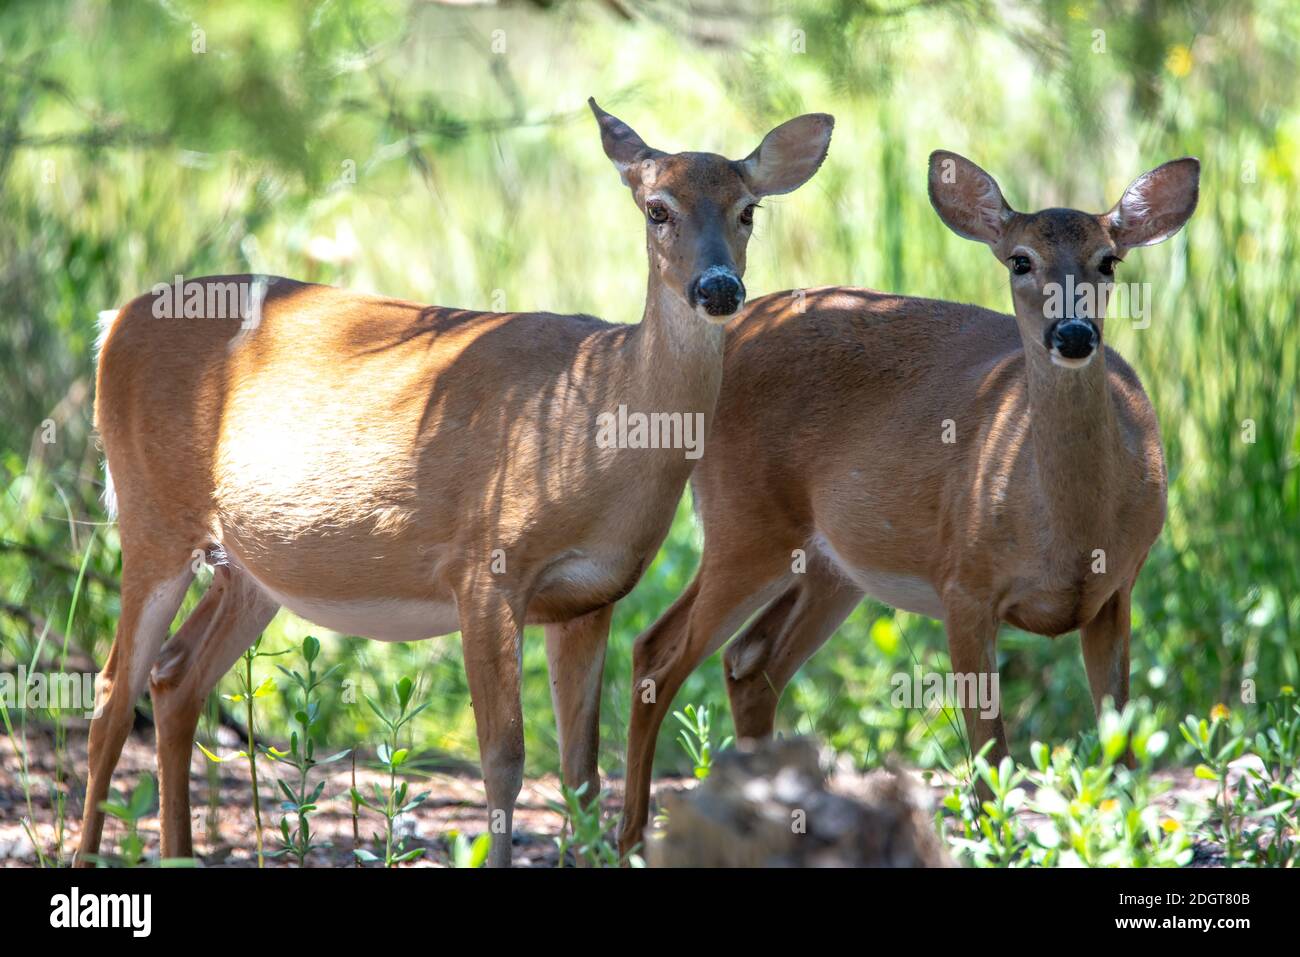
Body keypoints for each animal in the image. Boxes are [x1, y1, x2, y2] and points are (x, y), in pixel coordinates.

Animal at [78, 100, 834, 867]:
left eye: (747, 210)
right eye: (658, 209)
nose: (719, 288)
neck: (601, 417)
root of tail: (113, 323)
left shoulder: (589, 598)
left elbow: (582, 772)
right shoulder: (485, 568)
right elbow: (503, 759)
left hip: (253, 566)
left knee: (174, 677)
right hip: (151, 511)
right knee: (113, 687)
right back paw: (83, 853)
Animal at [617, 150, 1199, 854]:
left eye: (1108, 259)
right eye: (1020, 260)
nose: (1073, 333)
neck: (1069, 529)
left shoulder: (1117, 588)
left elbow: (1123, 749)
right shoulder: (965, 582)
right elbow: (991, 754)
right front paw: (997, 844)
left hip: (832, 564)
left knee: (748, 661)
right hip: (744, 523)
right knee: (658, 649)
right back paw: (627, 840)